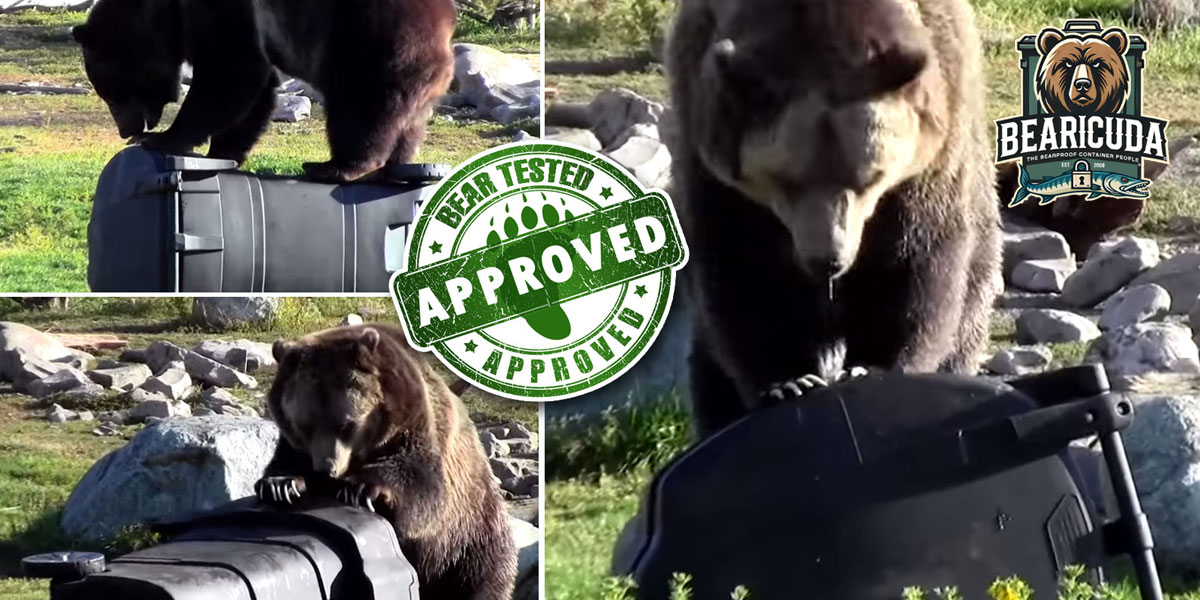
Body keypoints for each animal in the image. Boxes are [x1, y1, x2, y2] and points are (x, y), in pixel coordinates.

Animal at [70, 0, 456, 181]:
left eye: (111, 94)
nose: (126, 131)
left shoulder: (222, 9)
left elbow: (231, 71)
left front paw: (162, 138)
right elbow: (255, 90)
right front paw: (220, 152)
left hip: (372, 42)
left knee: (361, 107)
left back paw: (338, 166)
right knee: (406, 121)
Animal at [255, 323, 516, 599]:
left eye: (346, 424)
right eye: (306, 426)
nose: (327, 469)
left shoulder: (416, 423)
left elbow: (424, 487)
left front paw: (360, 487)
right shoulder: (292, 445)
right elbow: (282, 464)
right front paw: (280, 485)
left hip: (469, 533)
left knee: (480, 573)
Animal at [665, 0, 1001, 437]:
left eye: (869, 177)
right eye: (785, 181)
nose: (828, 260)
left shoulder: (928, 166)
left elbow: (915, 266)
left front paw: (873, 367)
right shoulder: (715, 169)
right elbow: (743, 275)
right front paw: (789, 382)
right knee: (710, 368)